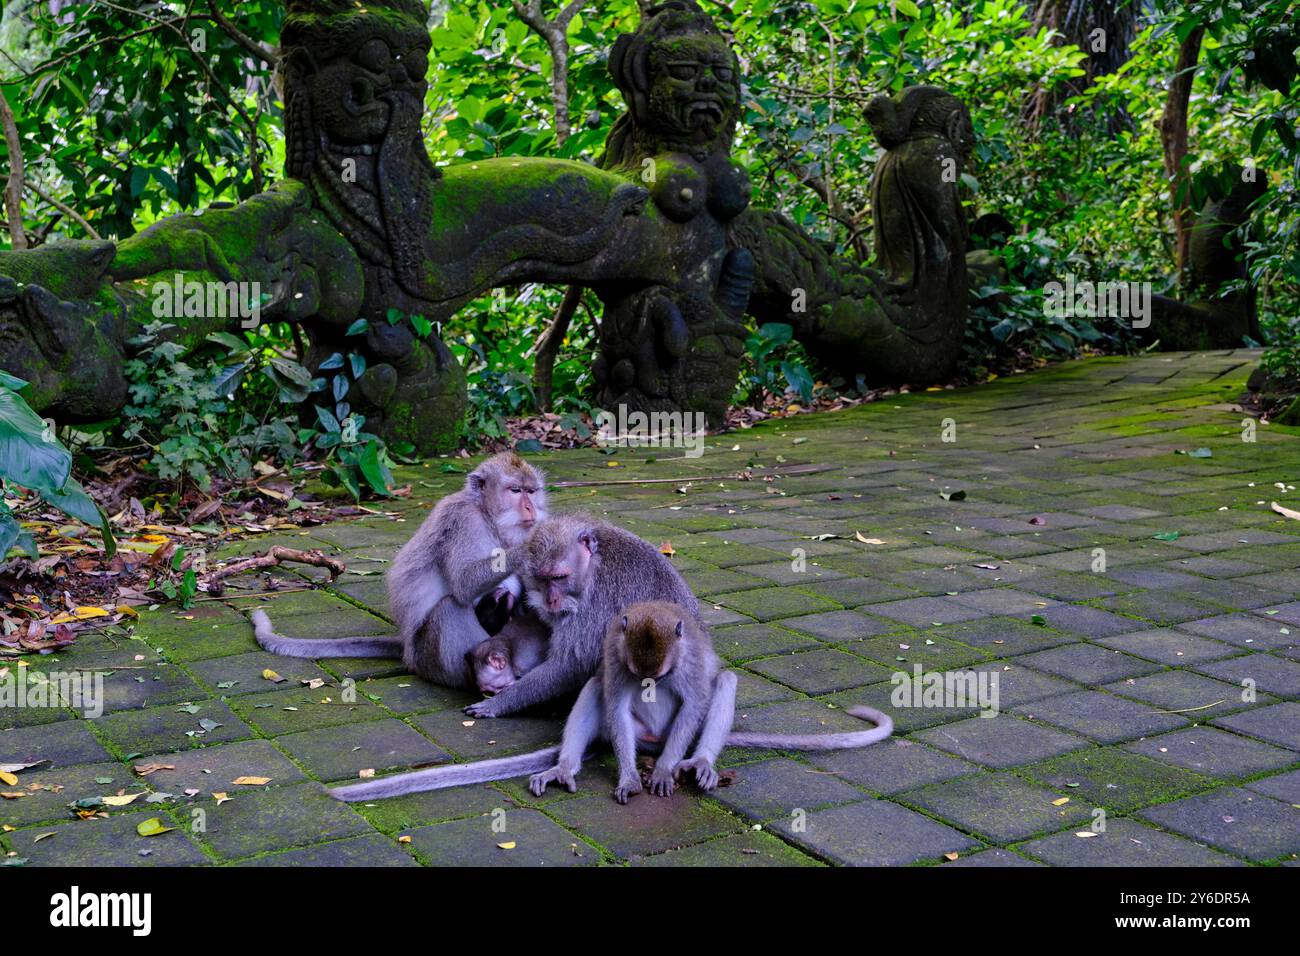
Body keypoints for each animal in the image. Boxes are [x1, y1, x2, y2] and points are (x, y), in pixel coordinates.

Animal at [251, 451, 547, 688]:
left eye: (531, 491)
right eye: (515, 491)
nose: (531, 507)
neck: (488, 517)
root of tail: (407, 650)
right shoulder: (464, 522)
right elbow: (463, 584)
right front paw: (530, 546)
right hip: (427, 658)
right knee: (449, 608)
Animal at [327, 601, 892, 804]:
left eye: (659, 673)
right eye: (643, 673)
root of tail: (652, 740)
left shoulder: (685, 663)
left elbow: (695, 699)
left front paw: (662, 775)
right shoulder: (616, 655)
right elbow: (611, 695)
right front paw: (626, 778)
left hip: (674, 735)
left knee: (723, 685)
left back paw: (698, 763)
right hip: (630, 728)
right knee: (594, 691)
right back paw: (565, 766)